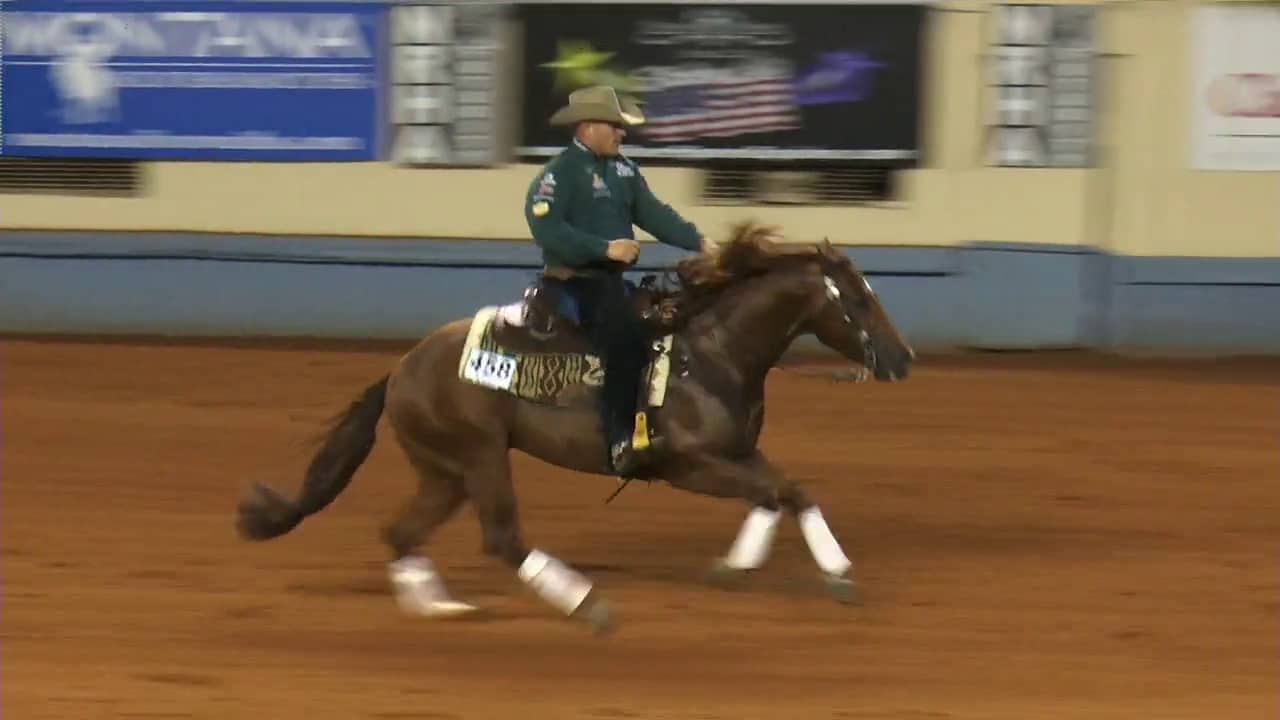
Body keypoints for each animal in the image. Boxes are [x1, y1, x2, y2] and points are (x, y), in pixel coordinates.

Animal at [235, 221, 915, 634]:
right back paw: (588, 604)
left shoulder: (739, 451)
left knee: (402, 531)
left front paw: (764, 567)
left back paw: (440, 606)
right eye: (858, 300)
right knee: (502, 538)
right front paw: (816, 571)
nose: (903, 358)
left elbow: (785, 490)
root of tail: (401, 368)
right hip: (480, 457)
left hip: (445, 470)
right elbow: (778, 491)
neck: (710, 353)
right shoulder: (689, 465)